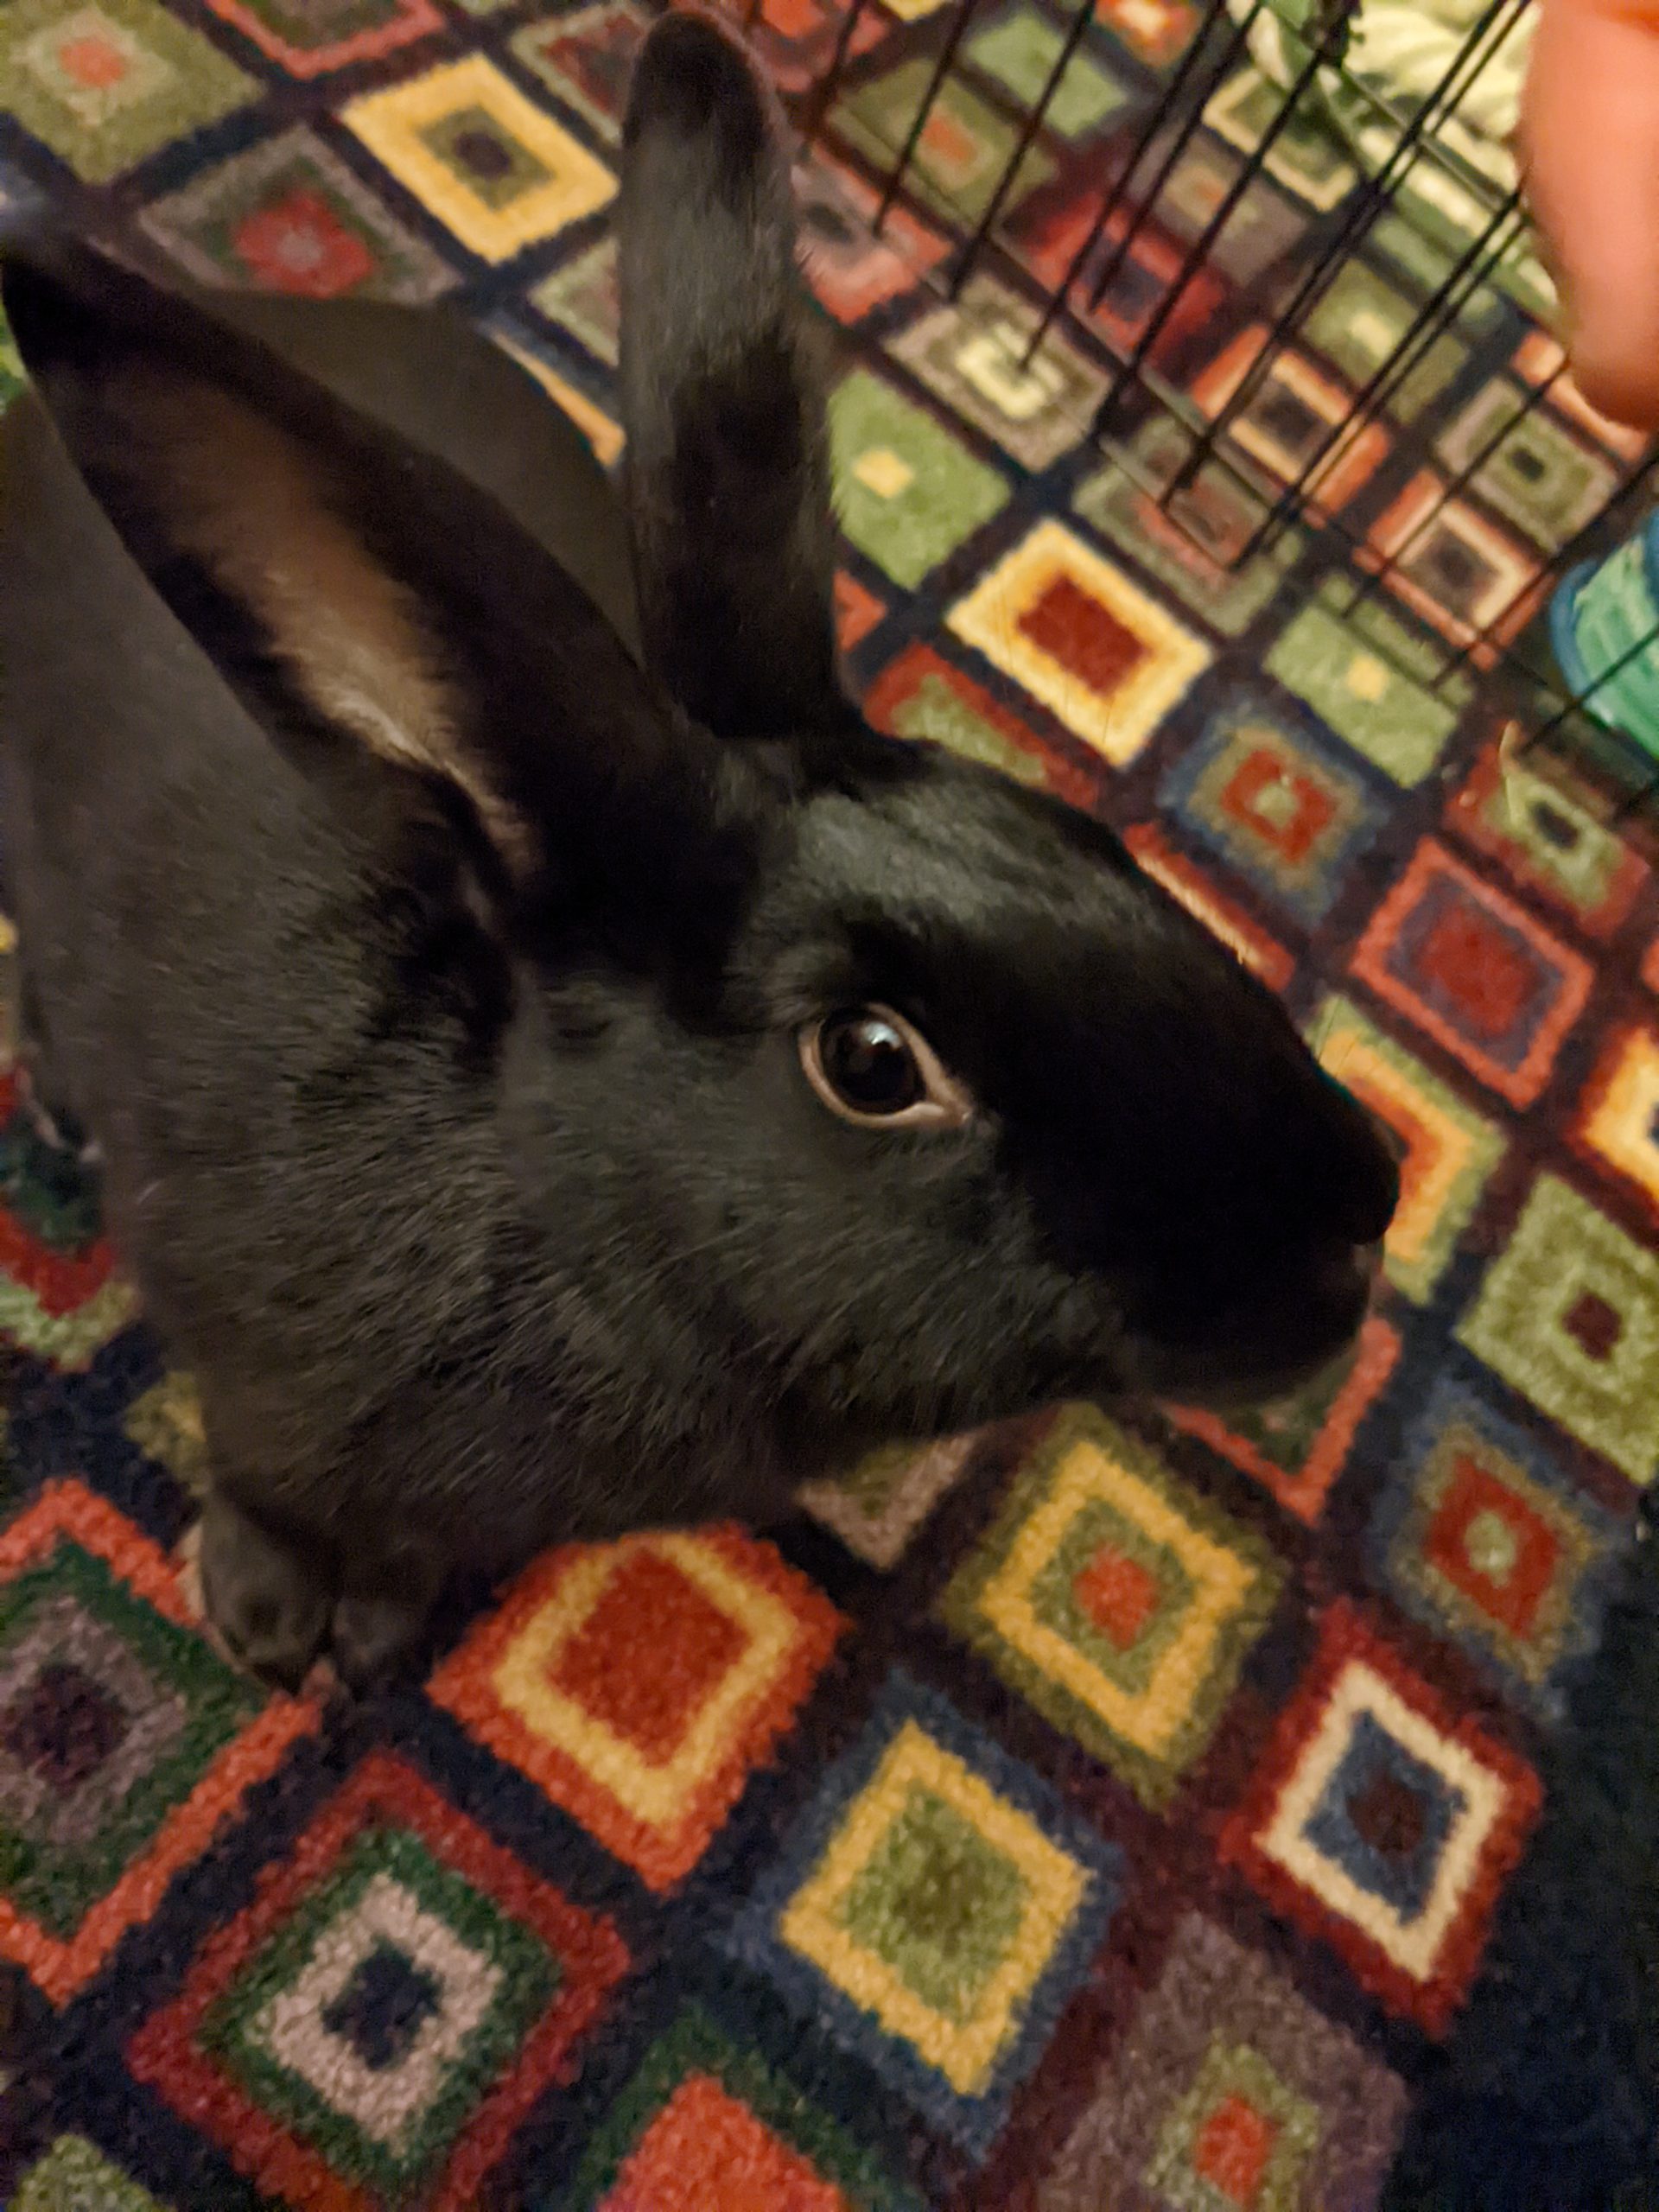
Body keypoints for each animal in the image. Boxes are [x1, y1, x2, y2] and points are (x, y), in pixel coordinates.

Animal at [0, 6, 1397, 1690]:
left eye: (1089, 838)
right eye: (871, 1061)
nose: (1358, 1225)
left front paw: (383, 1628)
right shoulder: (259, 1398)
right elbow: (266, 1490)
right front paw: (270, 1632)